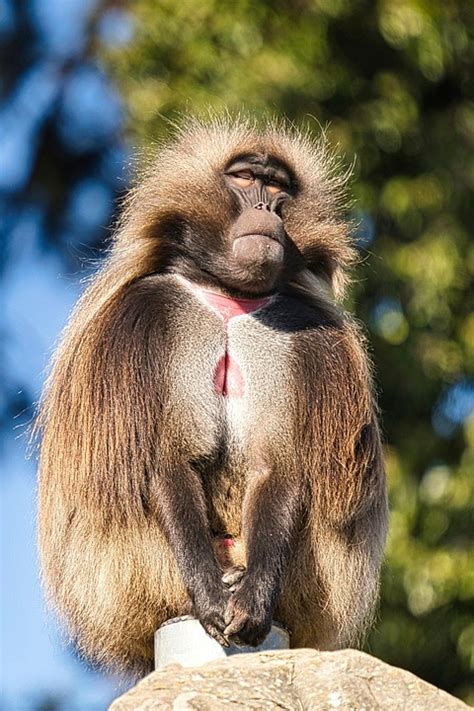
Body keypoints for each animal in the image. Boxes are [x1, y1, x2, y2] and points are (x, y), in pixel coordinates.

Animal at [36, 116, 388, 677]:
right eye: (245, 178)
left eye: (279, 187)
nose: (267, 209)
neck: (228, 295)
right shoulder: (146, 314)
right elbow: (166, 460)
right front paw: (208, 593)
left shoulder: (300, 328)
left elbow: (278, 466)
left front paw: (252, 600)